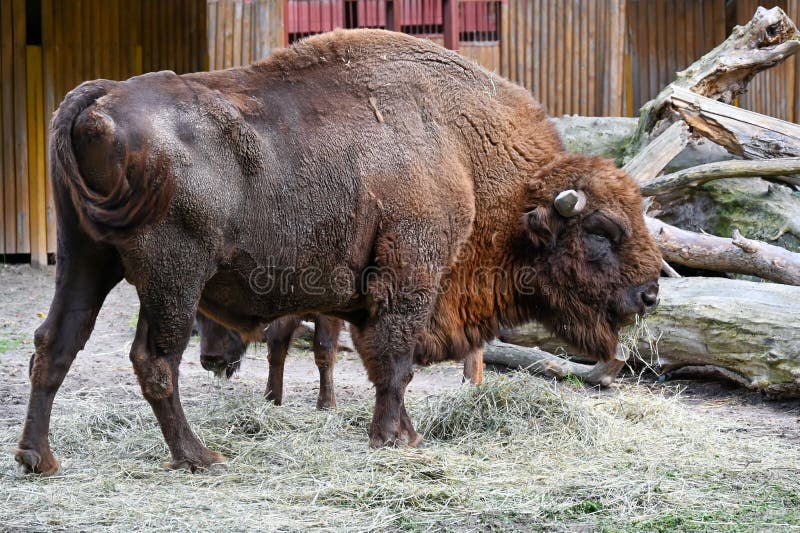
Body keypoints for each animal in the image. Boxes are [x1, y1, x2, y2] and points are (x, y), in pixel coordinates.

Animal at [17, 29, 661, 475]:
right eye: (601, 231)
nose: (651, 292)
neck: (466, 158)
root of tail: (101, 97)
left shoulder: (367, 300)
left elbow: (381, 364)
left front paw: (406, 436)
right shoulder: (409, 280)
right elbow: (396, 364)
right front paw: (387, 440)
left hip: (86, 259)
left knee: (55, 344)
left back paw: (37, 459)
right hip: (172, 277)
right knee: (154, 360)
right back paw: (200, 456)